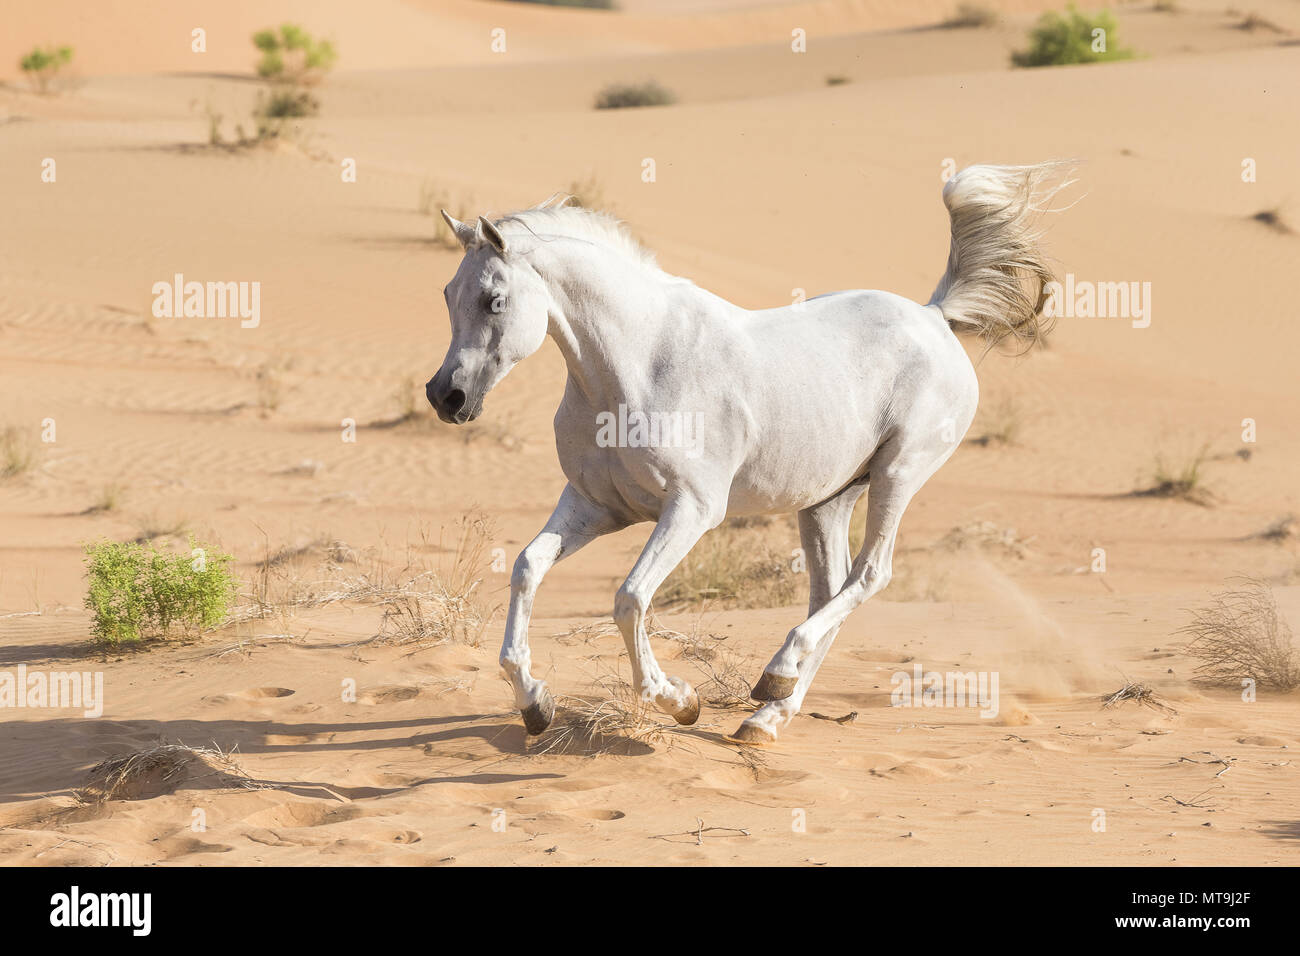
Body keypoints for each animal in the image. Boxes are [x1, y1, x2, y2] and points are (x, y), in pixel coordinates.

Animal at [426, 162, 1072, 745]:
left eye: (495, 300)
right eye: (448, 293)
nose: (445, 396)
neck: (636, 365)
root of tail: (935, 316)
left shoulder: (692, 510)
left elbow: (630, 599)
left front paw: (677, 700)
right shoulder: (596, 506)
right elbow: (528, 568)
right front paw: (535, 703)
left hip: (898, 475)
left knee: (870, 576)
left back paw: (775, 677)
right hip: (828, 501)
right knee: (829, 589)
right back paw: (767, 715)